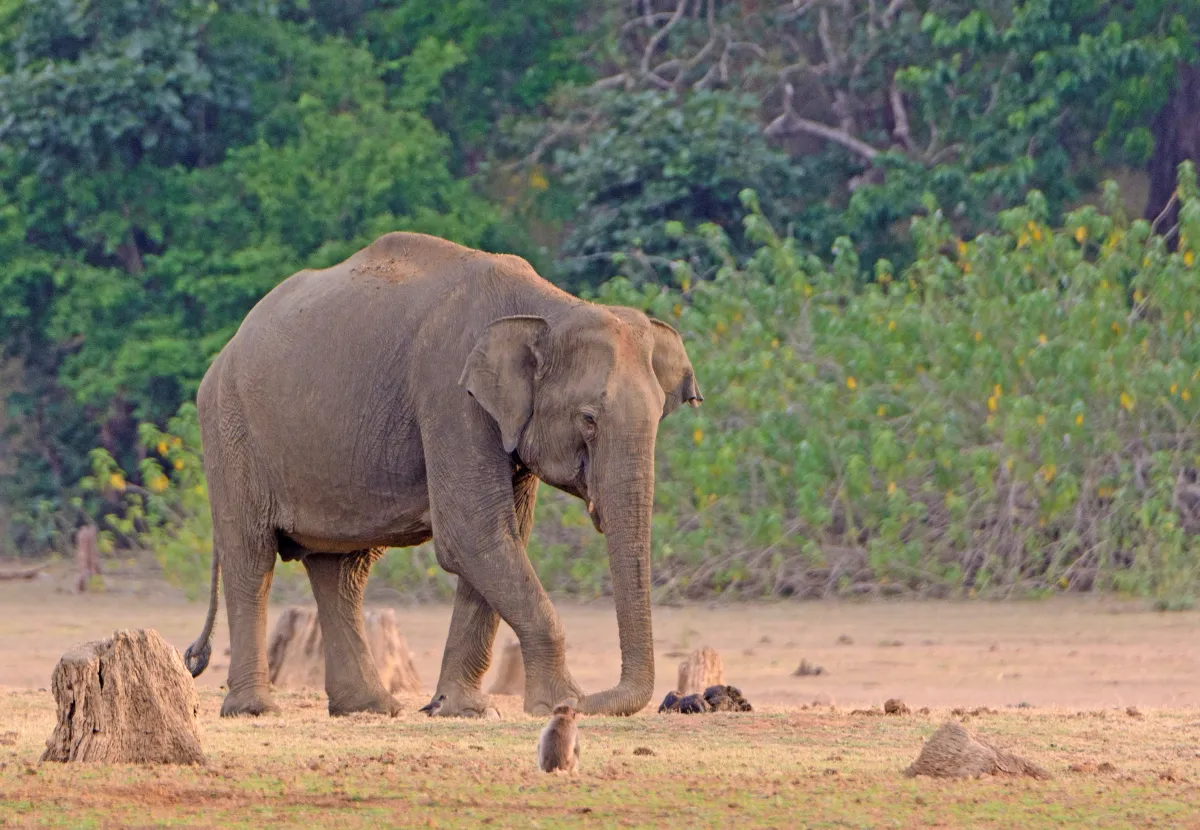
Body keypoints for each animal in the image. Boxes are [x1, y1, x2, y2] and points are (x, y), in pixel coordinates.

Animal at [183, 231, 702, 719]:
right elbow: (473, 534)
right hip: (230, 431)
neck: (546, 308)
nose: (593, 699)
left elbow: (499, 538)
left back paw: (372, 707)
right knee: (252, 556)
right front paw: (558, 702)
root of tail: (225, 351)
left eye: (659, 417)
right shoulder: (452, 397)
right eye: (589, 419)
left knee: (341, 569)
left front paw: (461, 709)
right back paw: (256, 708)